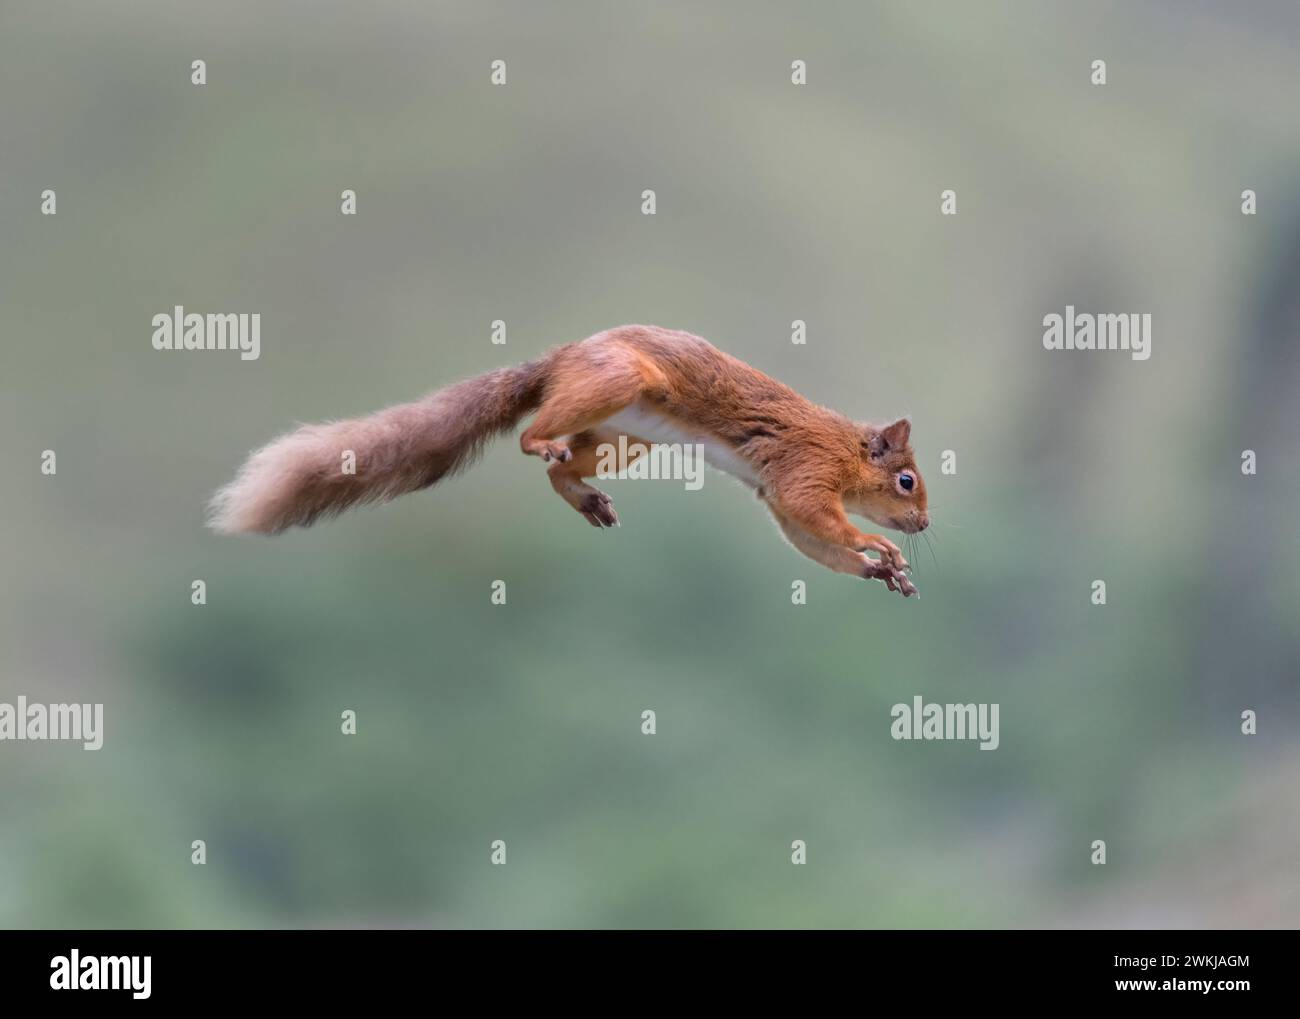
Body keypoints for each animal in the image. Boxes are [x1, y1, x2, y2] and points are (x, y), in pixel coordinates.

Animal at [209, 325, 929, 597]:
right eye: (906, 480)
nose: (923, 525)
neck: (844, 449)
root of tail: (559, 359)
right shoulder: (805, 471)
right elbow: (821, 519)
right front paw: (878, 546)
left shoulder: (776, 498)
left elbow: (813, 542)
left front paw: (877, 569)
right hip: (614, 384)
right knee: (535, 437)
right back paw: (541, 444)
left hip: (625, 439)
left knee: (563, 469)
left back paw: (587, 498)